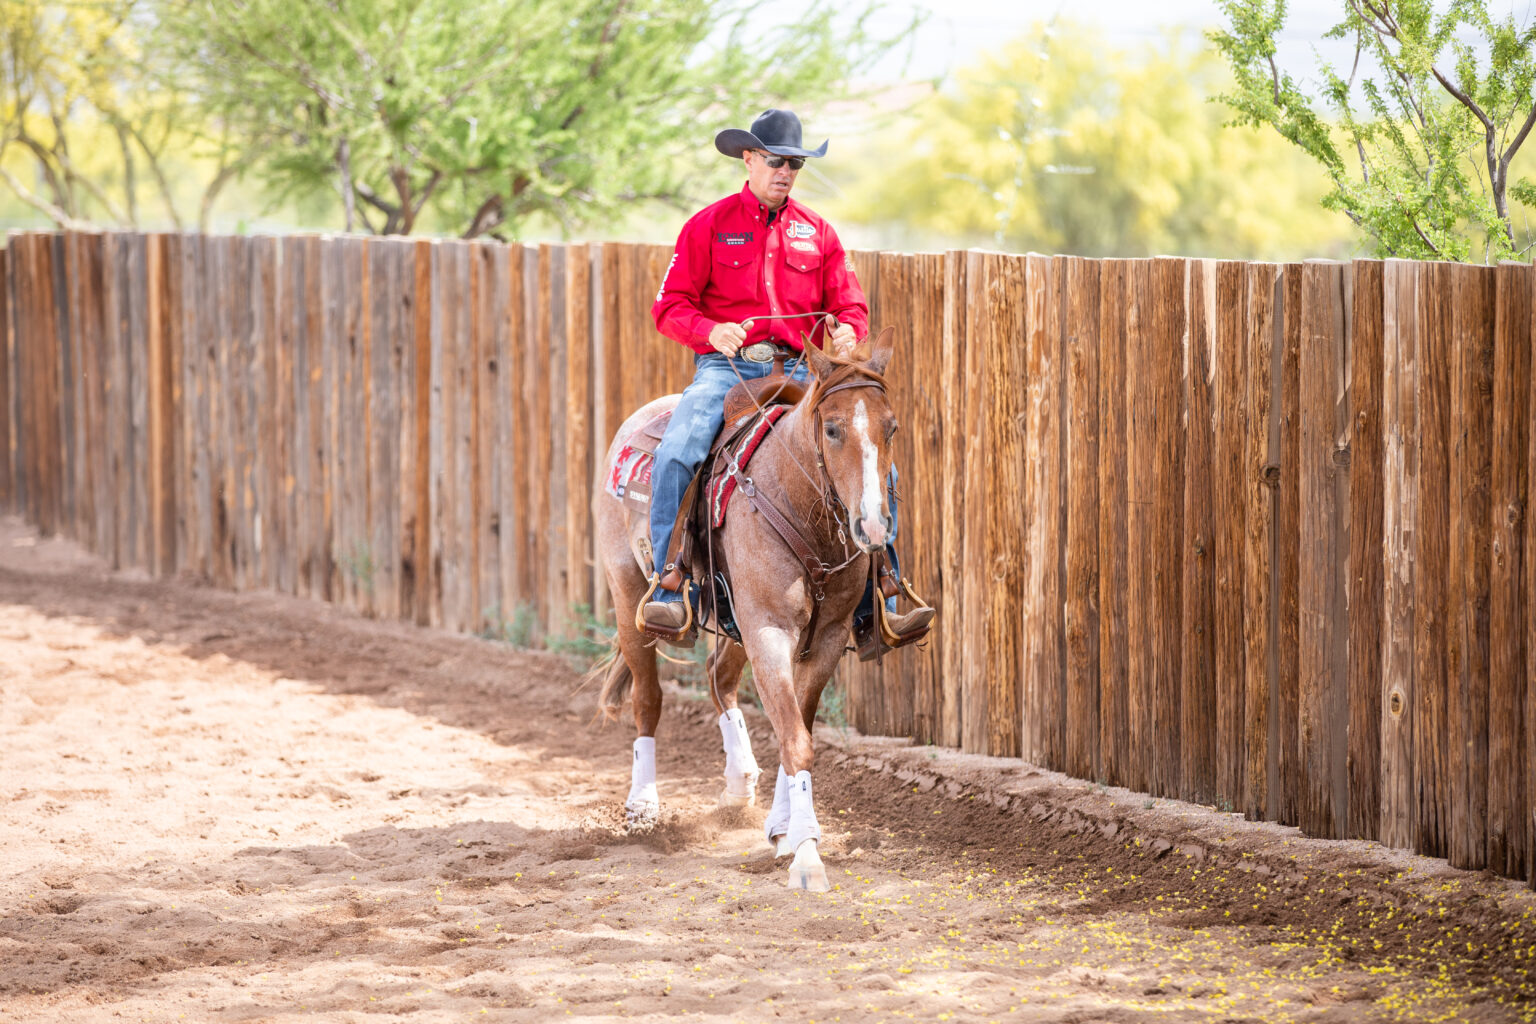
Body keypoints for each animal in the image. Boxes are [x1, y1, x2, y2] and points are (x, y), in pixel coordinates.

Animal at [592, 327, 899, 892]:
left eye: (891, 426)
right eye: (832, 428)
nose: (871, 525)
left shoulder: (823, 639)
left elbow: (795, 729)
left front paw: (784, 829)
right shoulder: (770, 632)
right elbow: (796, 740)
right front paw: (807, 856)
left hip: (735, 622)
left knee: (719, 678)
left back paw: (739, 785)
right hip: (630, 598)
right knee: (648, 700)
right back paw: (643, 806)